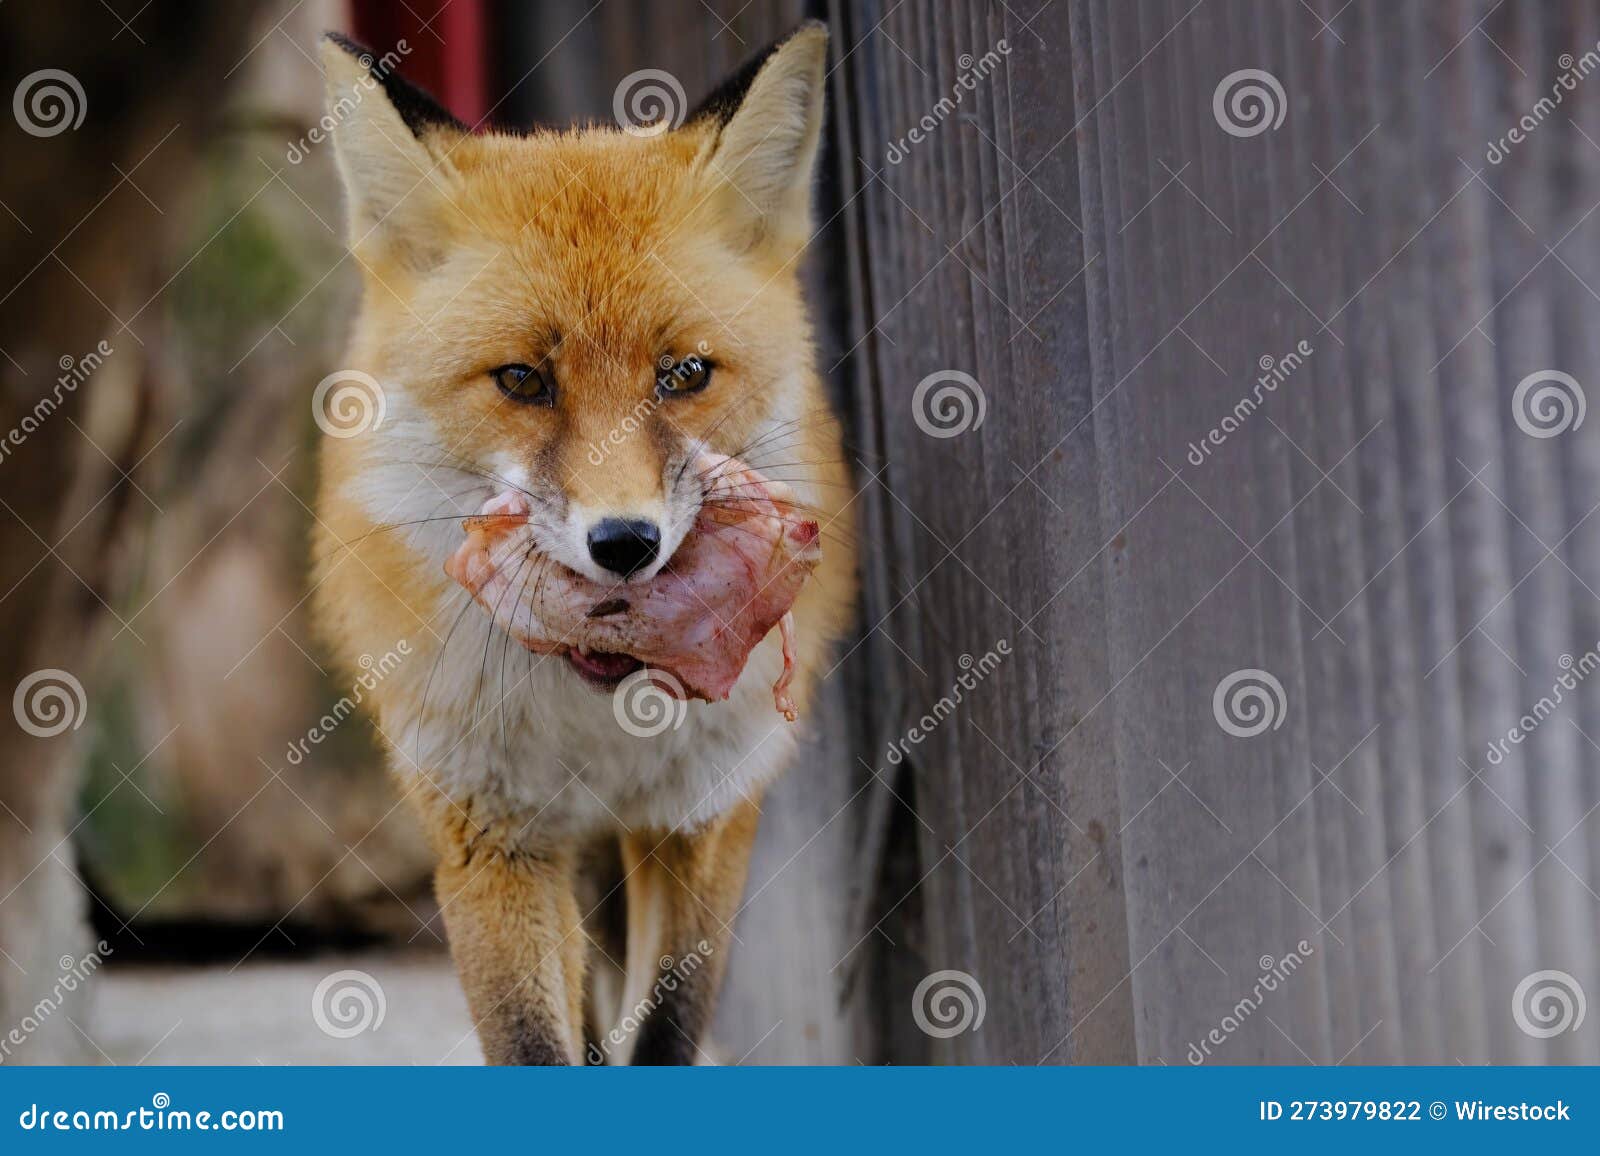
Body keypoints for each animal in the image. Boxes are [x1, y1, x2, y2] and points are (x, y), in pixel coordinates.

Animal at [310, 22, 855, 1065]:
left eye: (684, 374)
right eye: (523, 380)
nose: (626, 543)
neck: (599, 720)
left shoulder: (702, 818)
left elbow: (668, 1033)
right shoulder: (492, 836)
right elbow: (537, 1041)